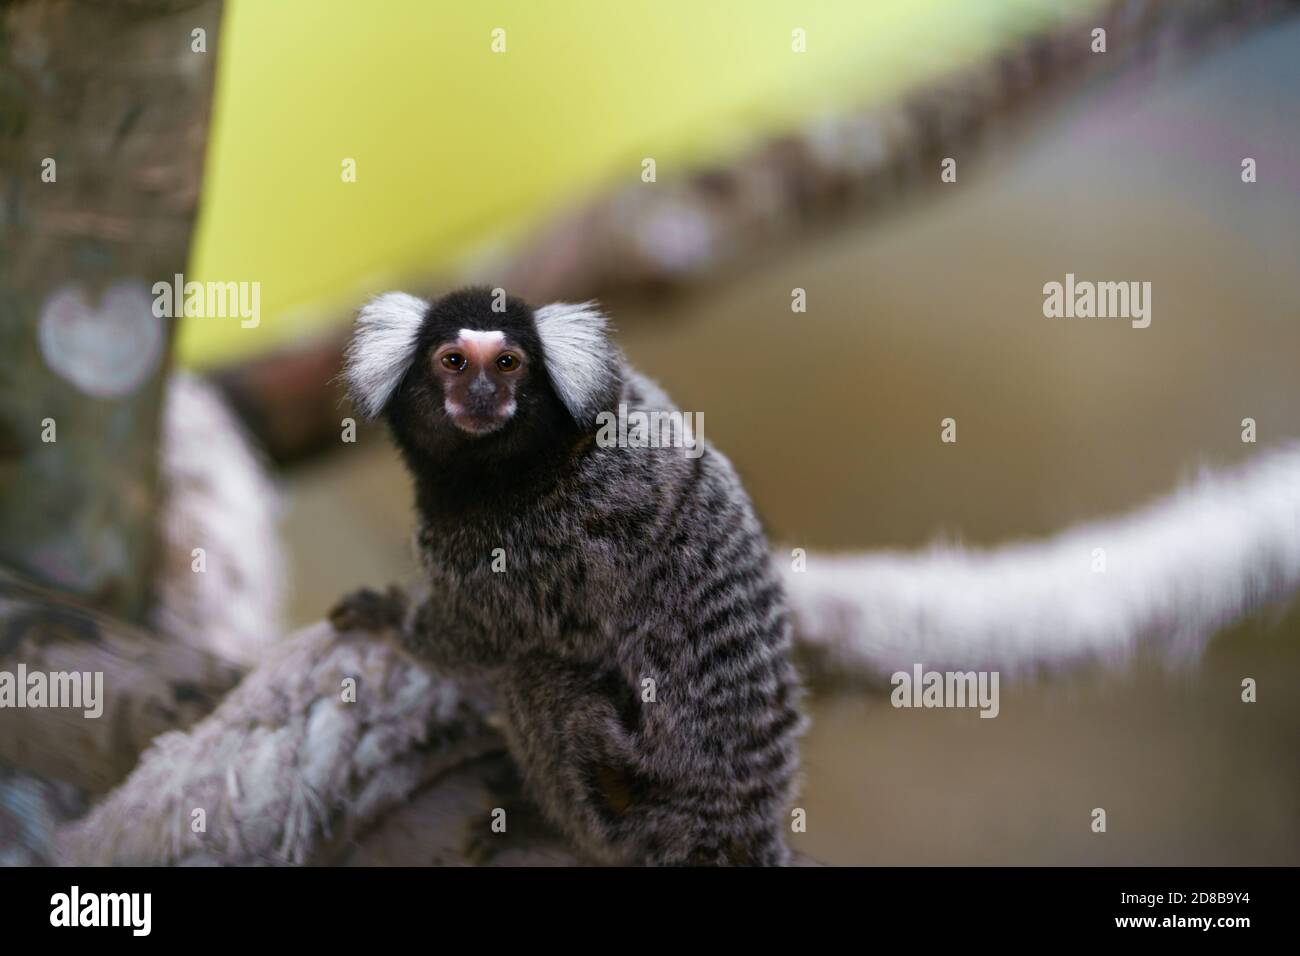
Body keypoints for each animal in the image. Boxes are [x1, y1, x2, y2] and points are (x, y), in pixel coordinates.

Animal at [332, 286, 804, 866]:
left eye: (508, 364)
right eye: (454, 361)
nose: (483, 394)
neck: (527, 460)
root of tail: (734, 815)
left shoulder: (523, 547)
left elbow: (476, 641)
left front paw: (387, 616)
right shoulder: (635, 397)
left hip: (622, 786)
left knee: (532, 678)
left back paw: (534, 819)